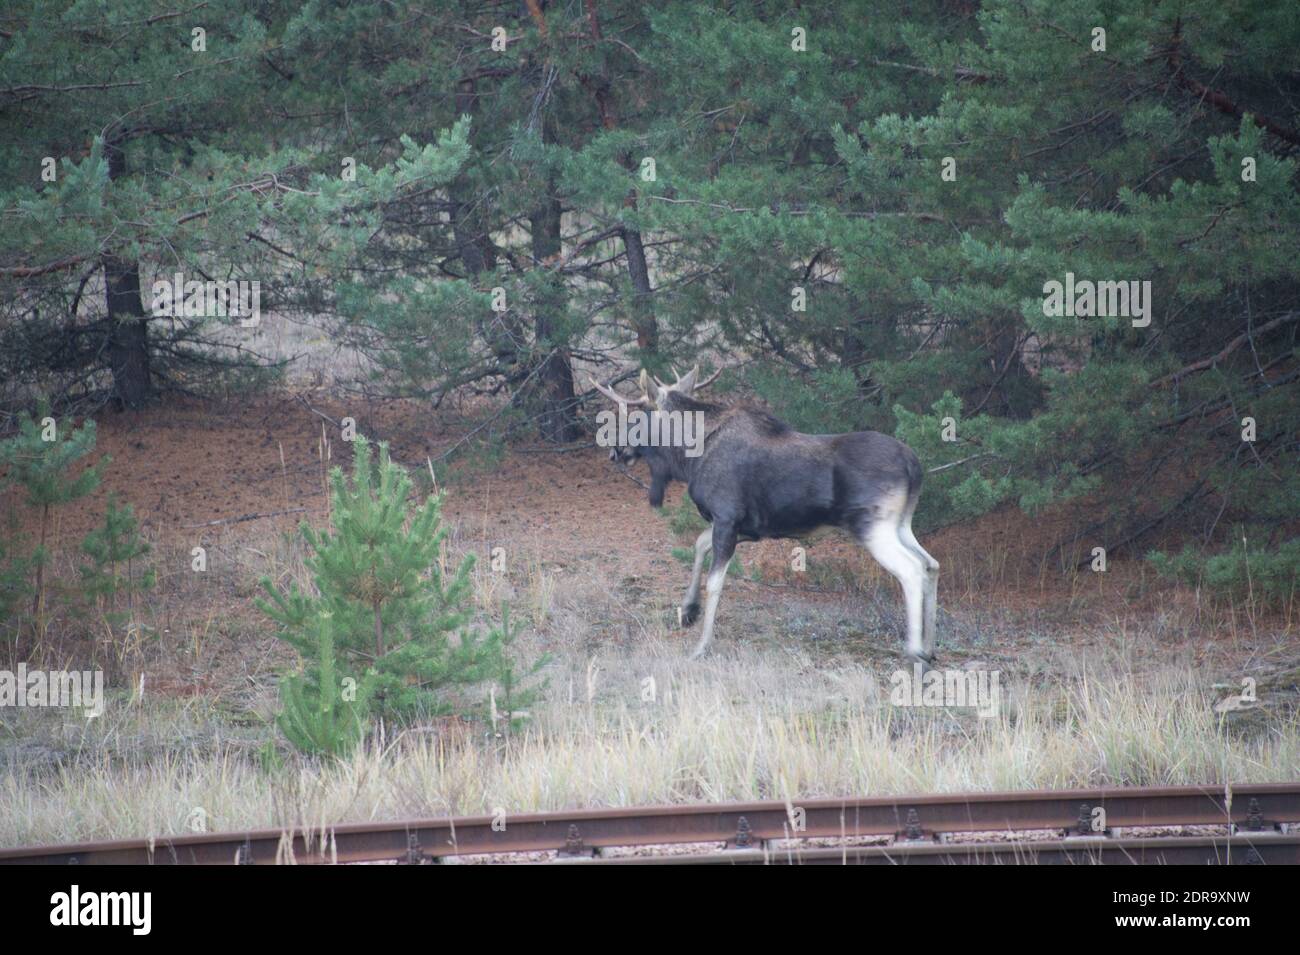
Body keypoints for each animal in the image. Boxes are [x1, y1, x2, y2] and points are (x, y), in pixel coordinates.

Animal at [590, 367, 939, 665]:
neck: (689, 458)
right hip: (901, 524)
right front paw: (688, 610)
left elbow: (715, 582)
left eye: (638, 417)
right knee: (931, 564)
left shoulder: (726, 517)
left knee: (911, 570)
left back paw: (914, 652)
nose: (615, 451)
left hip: (873, 526)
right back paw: (930, 648)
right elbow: (699, 545)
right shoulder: (745, 526)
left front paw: (701, 645)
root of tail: (915, 467)